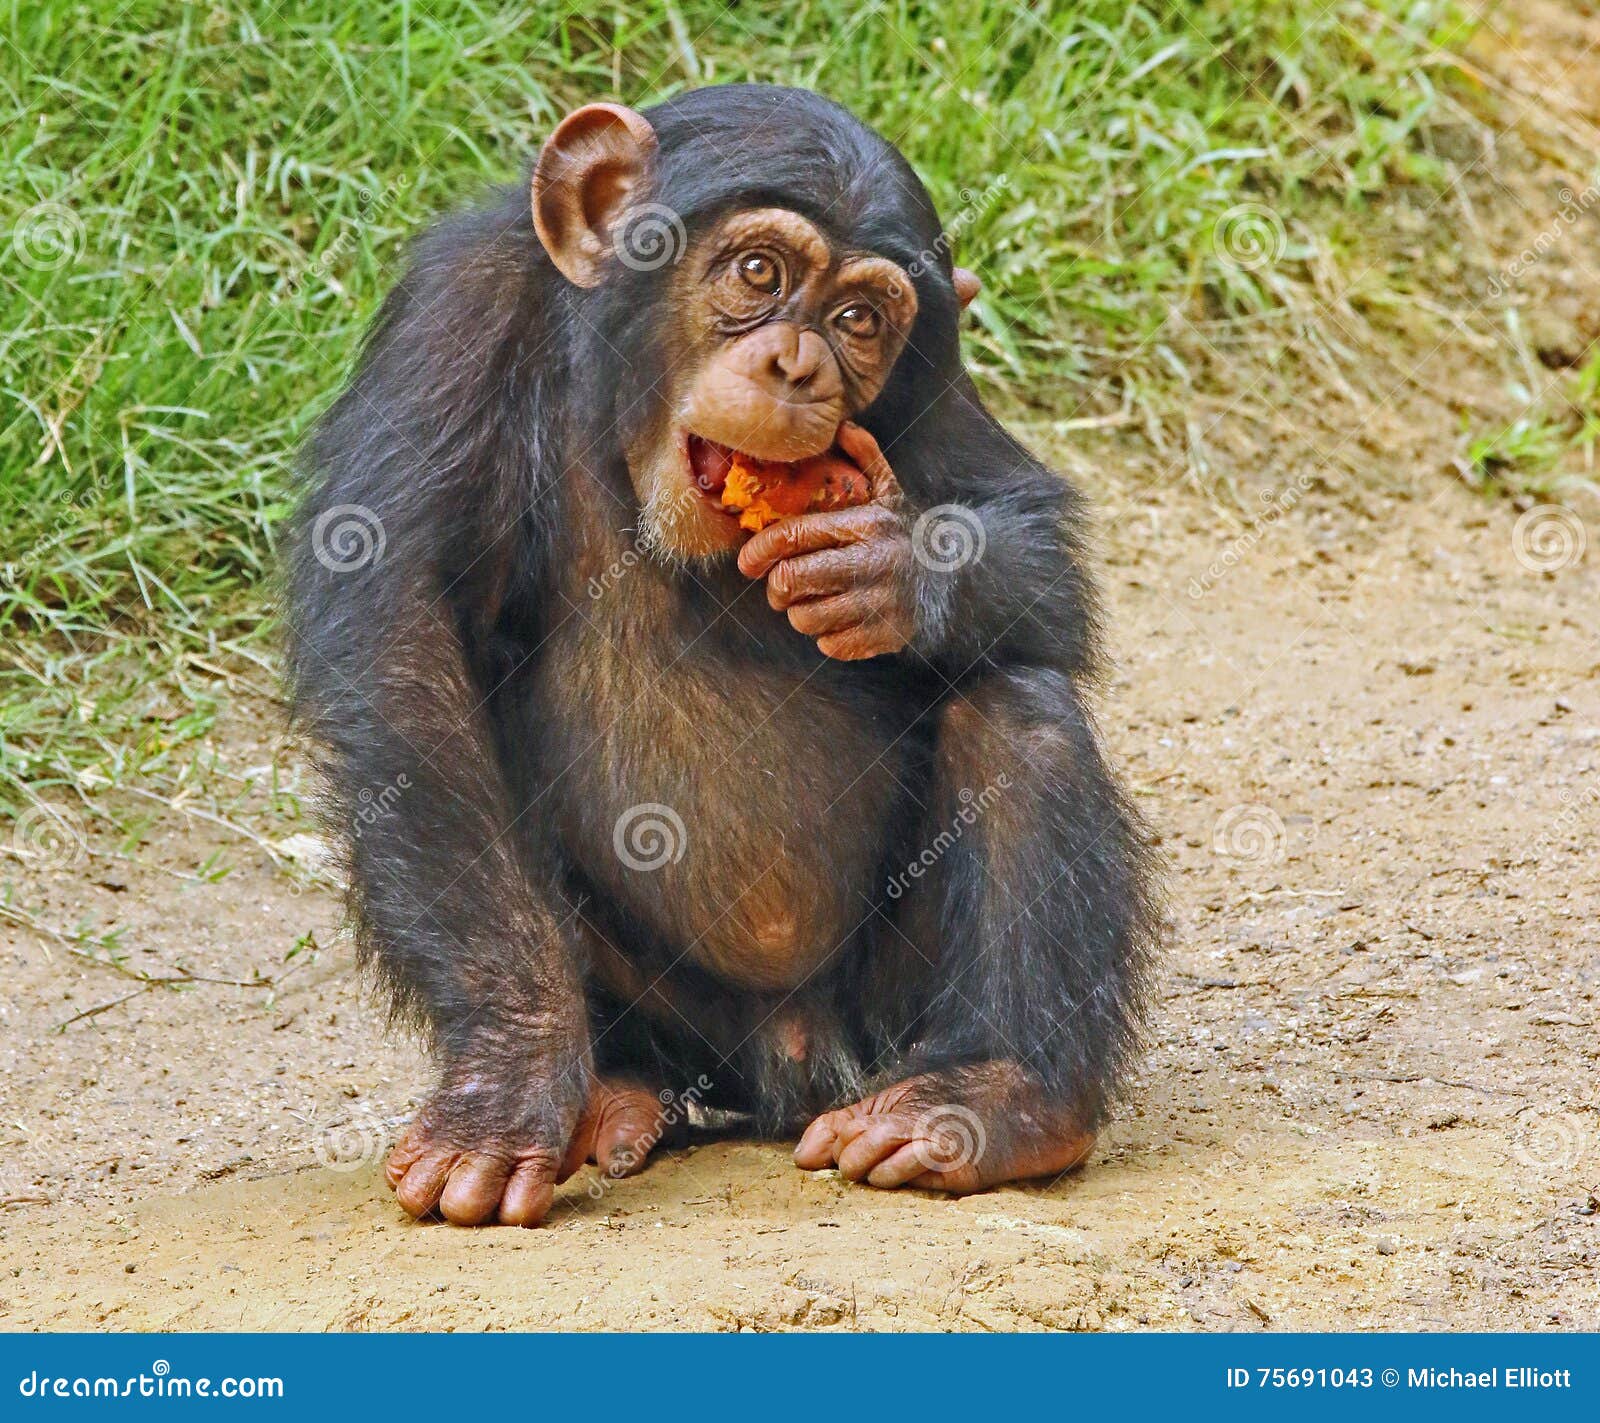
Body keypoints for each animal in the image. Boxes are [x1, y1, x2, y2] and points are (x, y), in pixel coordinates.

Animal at [287, 85, 1159, 1226]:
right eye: (757, 273)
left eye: (859, 321)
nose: (798, 363)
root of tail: (793, 1059)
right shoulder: (452, 316)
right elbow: (406, 643)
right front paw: (509, 1079)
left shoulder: (933, 385)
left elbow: (1033, 538)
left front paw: (891, 570)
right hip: (689, 1025)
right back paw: (610, 1097)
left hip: (884, 1017)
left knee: (1017, 709)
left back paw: (995, 1100)